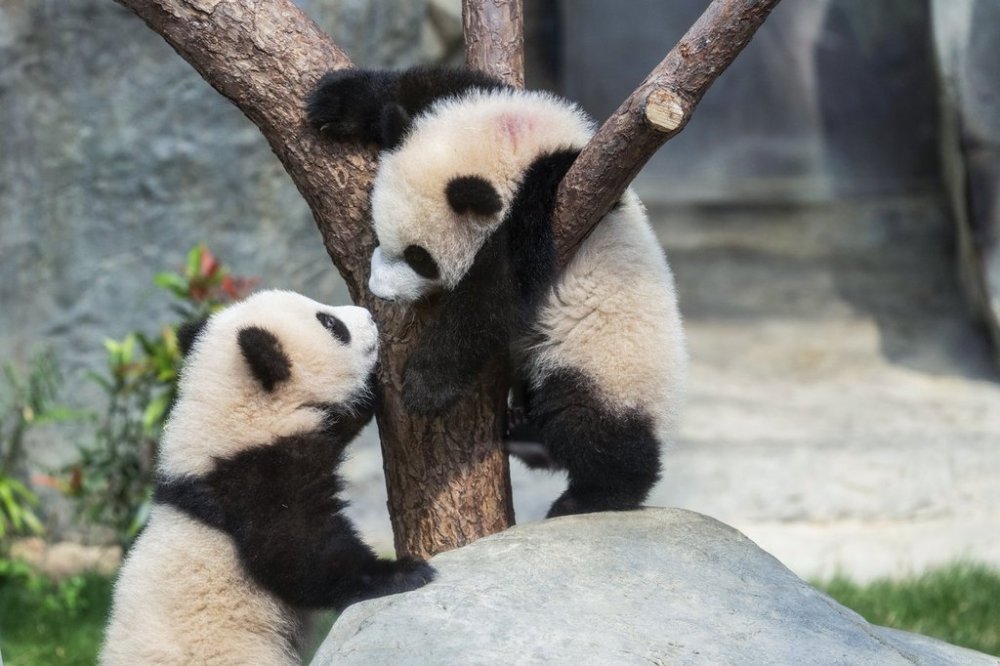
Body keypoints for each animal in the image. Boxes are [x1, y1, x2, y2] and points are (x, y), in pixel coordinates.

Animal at [308, 67, 686, 518]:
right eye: (380, 235)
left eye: (419, 258)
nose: (379, 291)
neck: (519, 144)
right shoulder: (495, 101)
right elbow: (426, 84)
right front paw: (335, 101)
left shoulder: (556, 194)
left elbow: (496, 290)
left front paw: (425, 384)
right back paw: (524, 432)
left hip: (608, 366)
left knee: (594, 430)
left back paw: (588, 496)